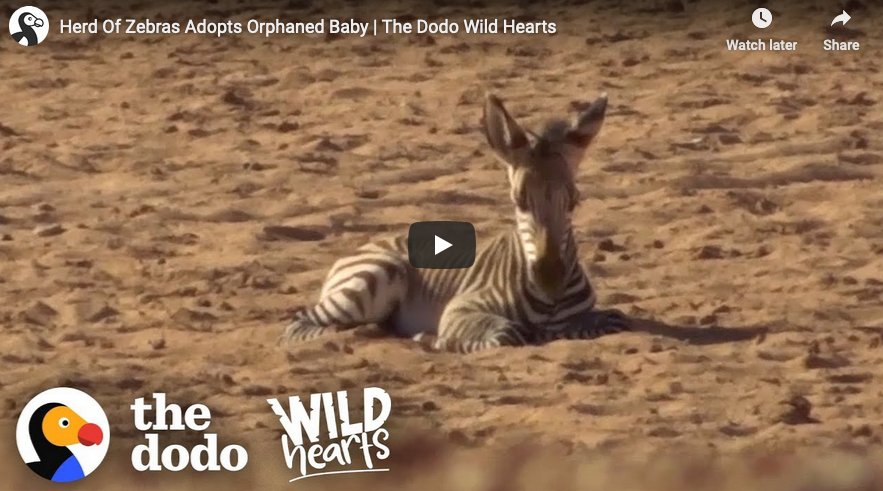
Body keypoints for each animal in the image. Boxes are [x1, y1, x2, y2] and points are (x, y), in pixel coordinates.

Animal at [280, 92, 630, 353]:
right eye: (519, 201)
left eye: (574, 201)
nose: (551, 278)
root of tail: (361, 248)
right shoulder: (460, 309)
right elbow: (506, 334)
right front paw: (434, 340)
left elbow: (614, 319)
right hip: (374, 276)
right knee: (299, 324)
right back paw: (350, 331)